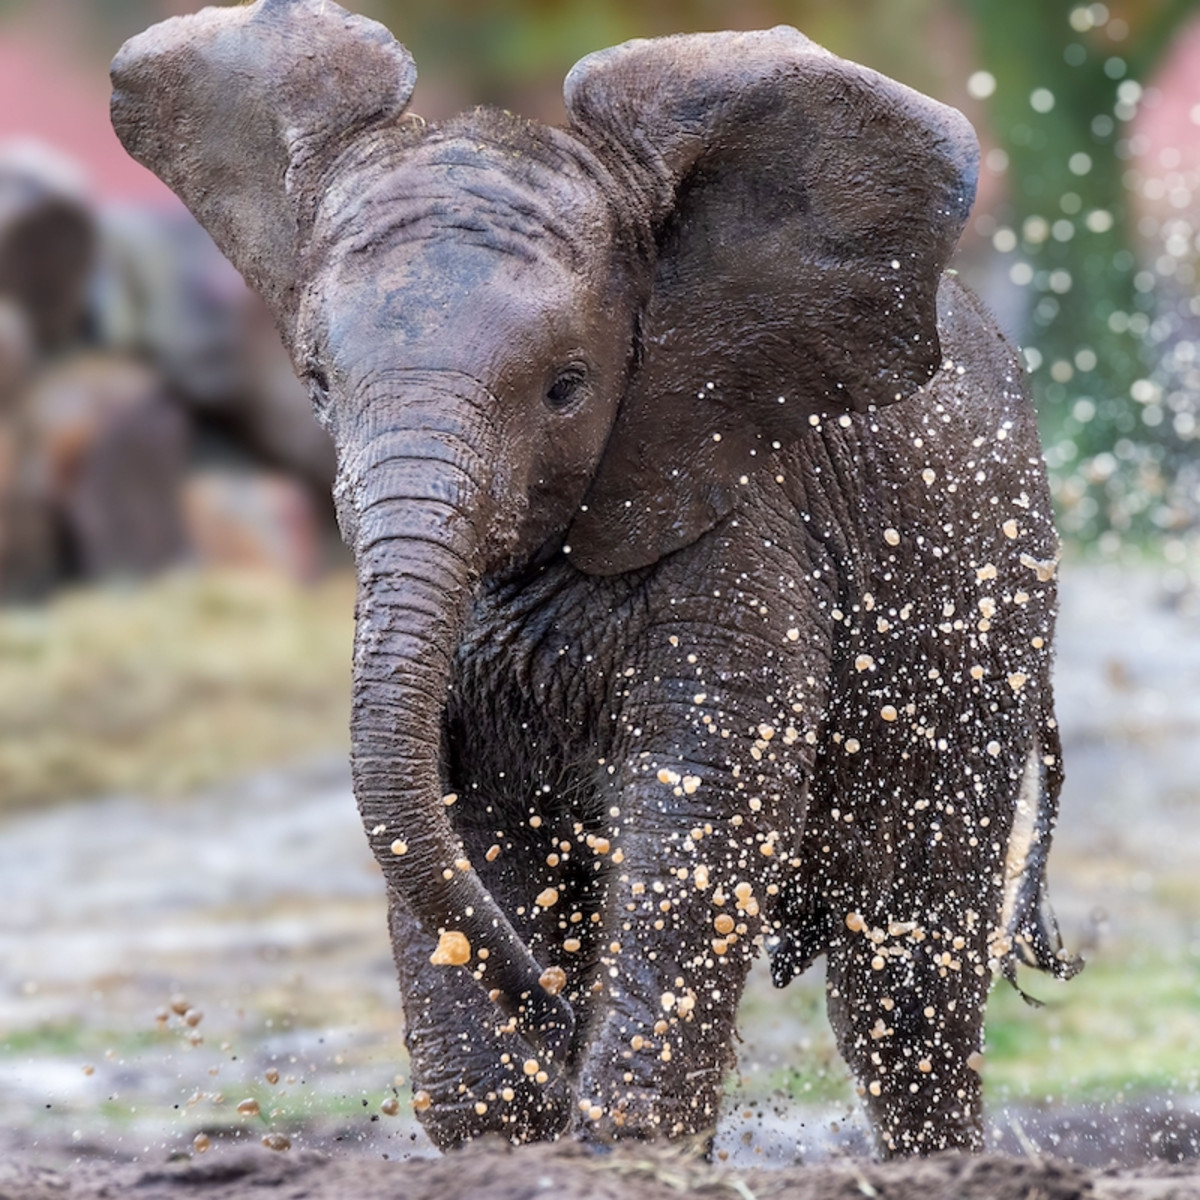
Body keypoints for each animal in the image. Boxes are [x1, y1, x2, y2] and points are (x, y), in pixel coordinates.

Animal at [111, 0, 1079, 1157]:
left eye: (568, 389)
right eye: (317, 385)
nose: (558, 1016)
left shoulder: (742, 517)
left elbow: (702, 792)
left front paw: (624, 1142)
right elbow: (445, 797)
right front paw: (508, 1142)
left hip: (984, 626)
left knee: (903, 972)